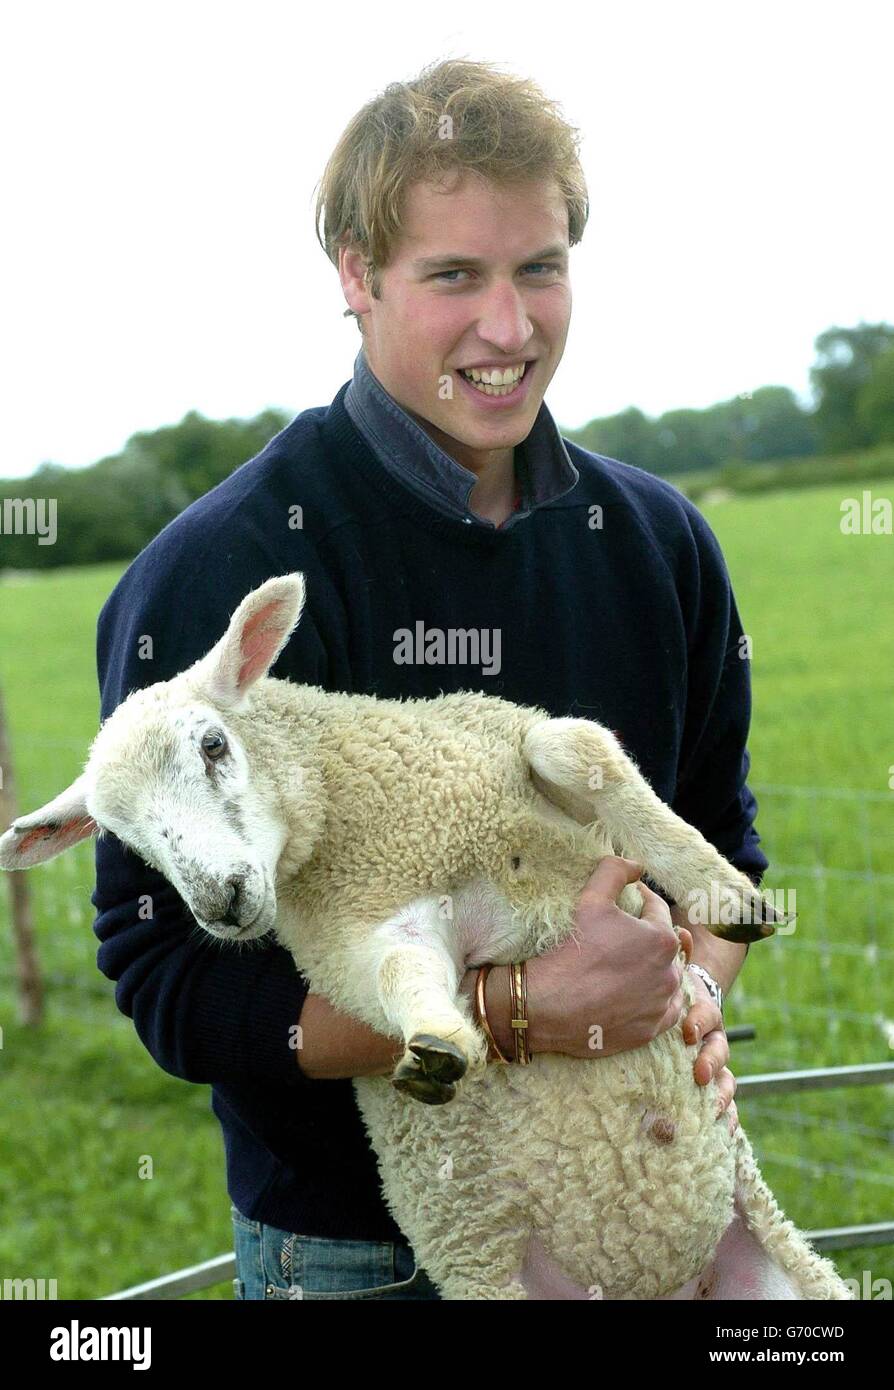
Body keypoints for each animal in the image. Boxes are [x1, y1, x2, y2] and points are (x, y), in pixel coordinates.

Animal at [0, 572, 853, 1300]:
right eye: (119, 835)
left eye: (214, 744)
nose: (222, 901)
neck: (374, 829)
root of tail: (651, 1285)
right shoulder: (364, 938)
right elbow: (398, 972)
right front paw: (438, 1044)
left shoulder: (505, 740)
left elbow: (574, 746)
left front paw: (726, 891)